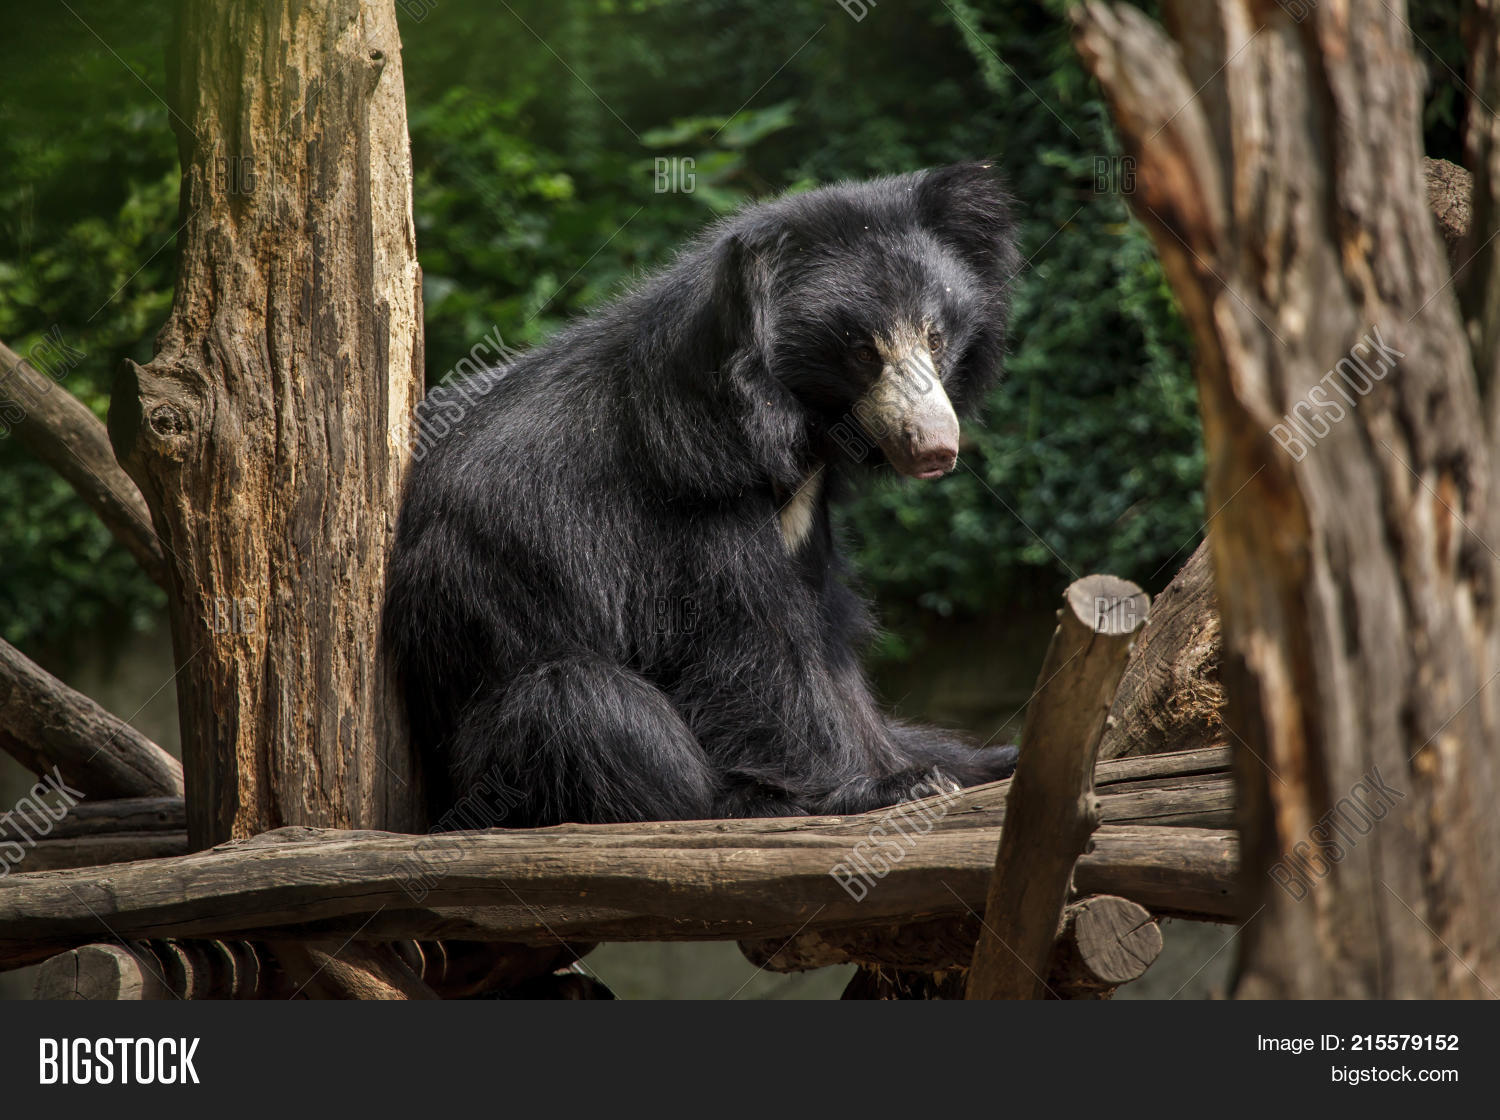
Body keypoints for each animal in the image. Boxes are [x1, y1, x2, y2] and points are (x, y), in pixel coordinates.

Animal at [383, 161, 1022, 830]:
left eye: (935, 337)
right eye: (861, 350)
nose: (935, 447)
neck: (784, 430)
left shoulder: (805, 522)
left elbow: (828, 647)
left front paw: (946, 764)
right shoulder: (689, 505)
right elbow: (750, 650)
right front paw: (890, 784)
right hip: (487, 739)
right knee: (576, 700)